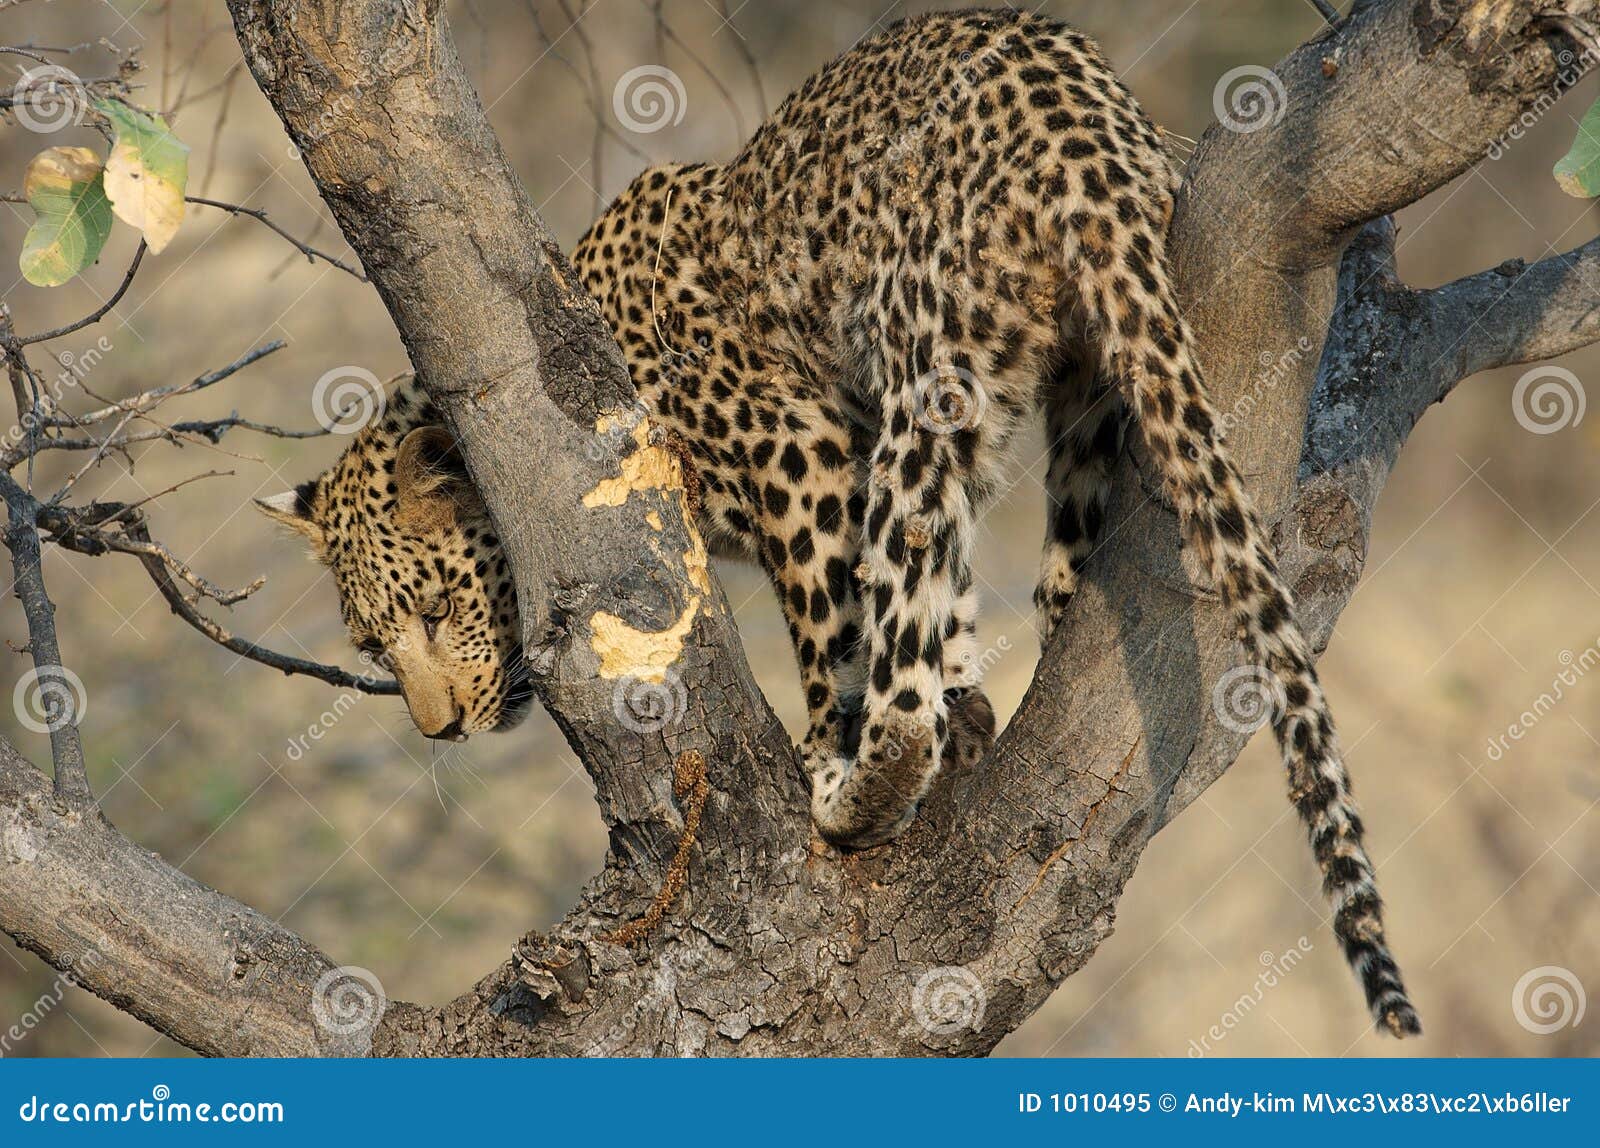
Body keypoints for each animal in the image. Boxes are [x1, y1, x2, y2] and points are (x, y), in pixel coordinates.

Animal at [259, 9, 1420, 1035]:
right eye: (370, 641)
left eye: (438, 606)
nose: (437, 727)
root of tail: (1077, 105)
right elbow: (944, 602)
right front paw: (968, 702)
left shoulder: (805, 448)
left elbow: (844, 625)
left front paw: (846, 742)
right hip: (1079, 384)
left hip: (917, 371)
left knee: (893, 648)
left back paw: (851, 783)